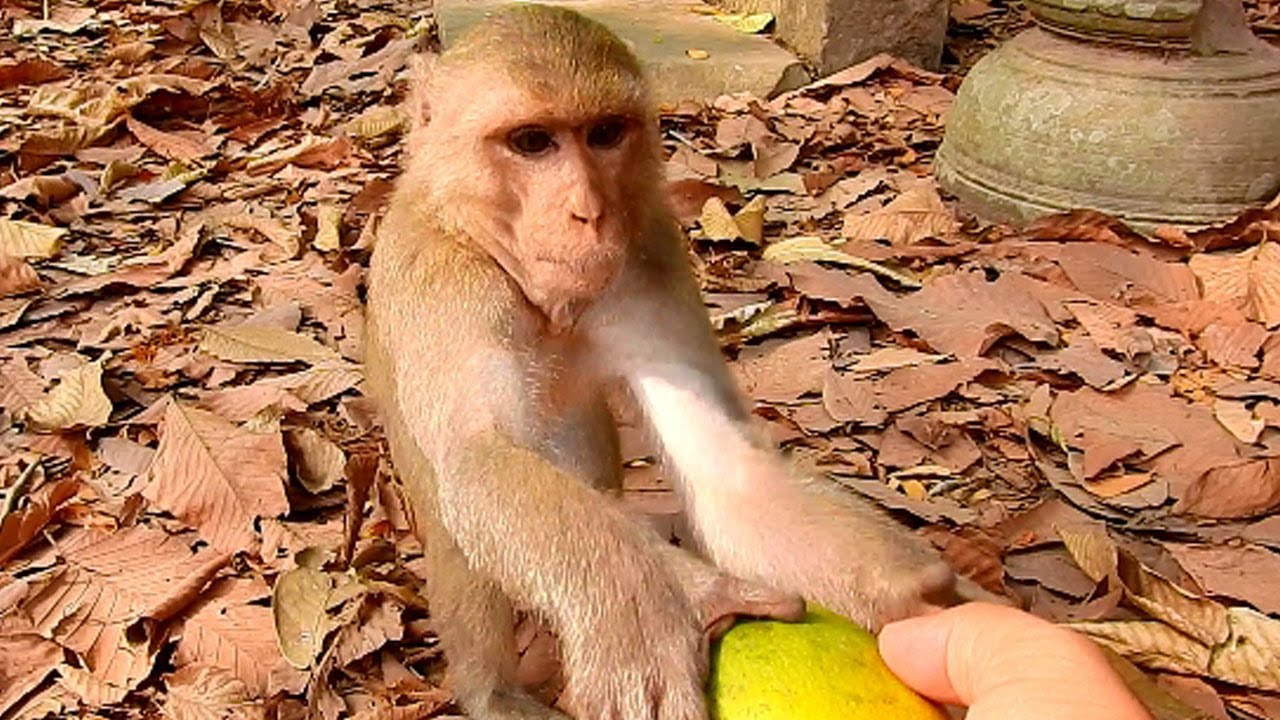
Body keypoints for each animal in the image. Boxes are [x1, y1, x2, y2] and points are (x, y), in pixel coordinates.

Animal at [364, 5, 958, 719]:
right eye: (532, 142)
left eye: (604, 134)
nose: (589, 214)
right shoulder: (446, 281)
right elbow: (480, 456)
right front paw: (657, 606)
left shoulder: (648, 254)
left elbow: (720, 465)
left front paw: (910, 596)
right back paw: (496, 693)